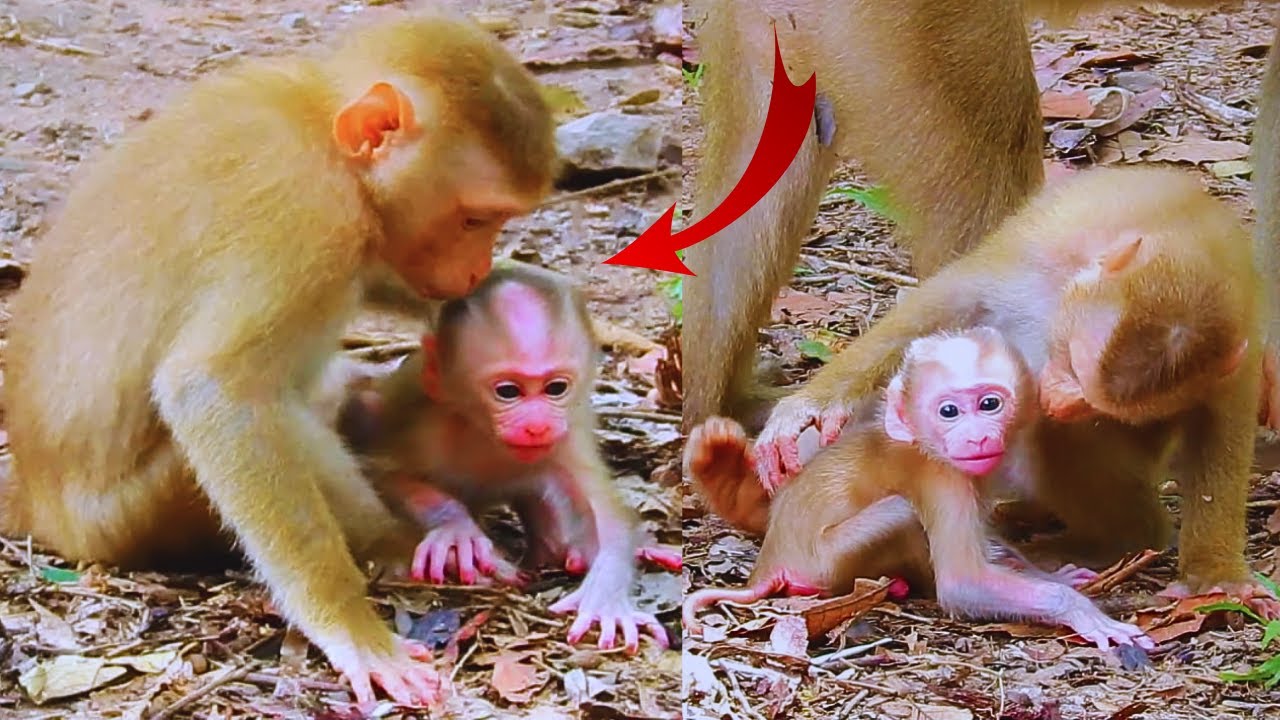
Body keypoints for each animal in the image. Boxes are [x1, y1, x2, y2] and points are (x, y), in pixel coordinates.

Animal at [0, 14, 557, 707]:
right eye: (476, 219)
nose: (478, 268)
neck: (322, 130)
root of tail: (36, 499)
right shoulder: (310, 213)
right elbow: (212, 389)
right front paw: (351, 628)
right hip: (136, 516)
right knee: (276, 409)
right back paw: (402, 541)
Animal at [333, 263, 669, 654]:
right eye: (508, 391)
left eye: (556, 388)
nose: (537, 427)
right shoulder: (428, 426)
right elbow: (381, 475)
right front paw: (456, 528)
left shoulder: (568, 436)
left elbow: (608, 515)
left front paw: (606, 596)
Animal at [683, 327, 1153, 651]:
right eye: (949, 411)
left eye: (989, 404)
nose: (977, 438)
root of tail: (769, 561)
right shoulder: (942, 479)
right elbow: (963, 580)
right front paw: (1078, 610)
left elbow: (992, 546)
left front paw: (1052, 573)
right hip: (822, 567)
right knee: (901, 513)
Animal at [746, 167, 1279, 615]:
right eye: (1070, 362)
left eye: (1092, 396)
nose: (1060, 398)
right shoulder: (1041, 248)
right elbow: (949, 301)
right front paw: (811, 408)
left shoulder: (1237, 335)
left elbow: (1221, 427)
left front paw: (1216, 576)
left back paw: (1118, 537)